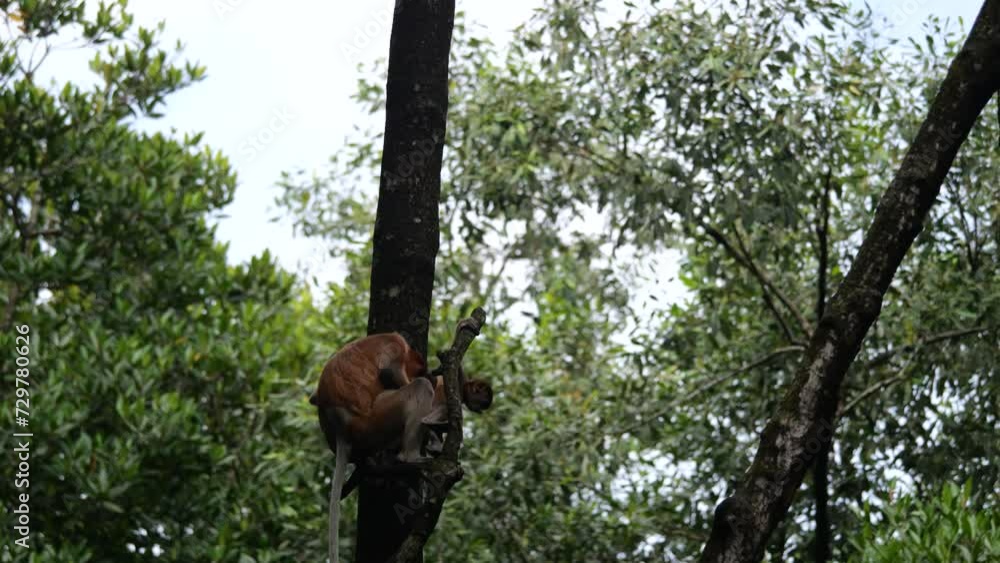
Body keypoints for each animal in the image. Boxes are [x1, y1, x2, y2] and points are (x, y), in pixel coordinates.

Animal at [309, 332, 493, 563]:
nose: (430, 373)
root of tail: (343, 428)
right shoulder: (396, 346)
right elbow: (390, 373)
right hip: (375, 417)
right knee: (419, 388)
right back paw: (412, 456)